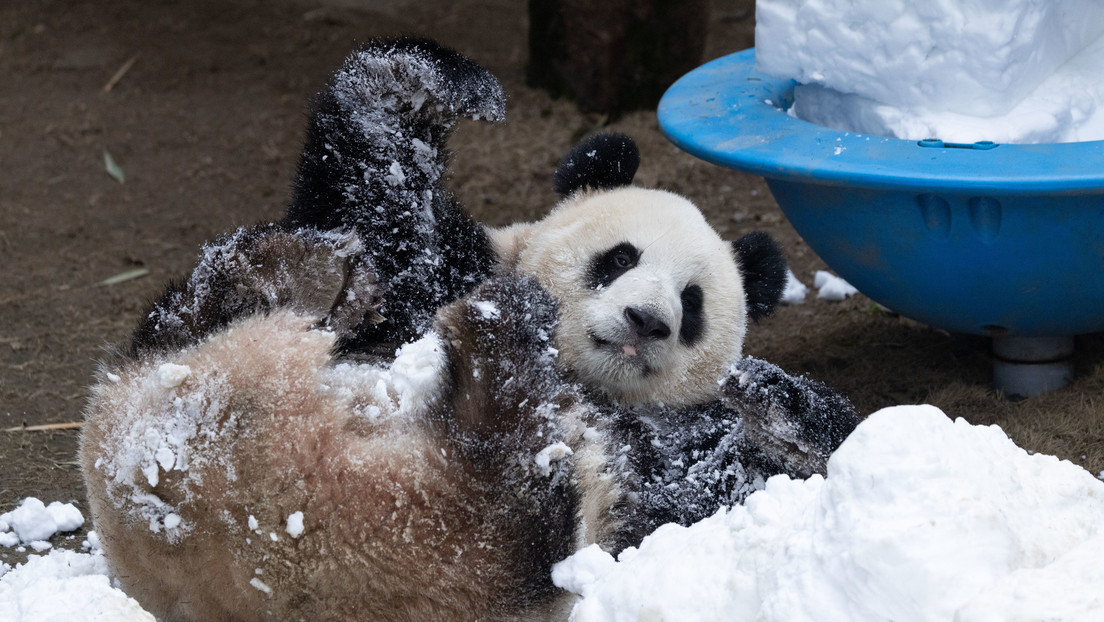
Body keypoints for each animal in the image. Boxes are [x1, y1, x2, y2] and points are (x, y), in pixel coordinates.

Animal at [81, 38, 860, 621]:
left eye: (692, 303)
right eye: (620, 258)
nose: (647, 320)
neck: (583, 378)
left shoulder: (680, 468)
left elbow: (765, 470)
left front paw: (775, 400)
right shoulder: (434, 279)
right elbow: (376, 203)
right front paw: (439, 89)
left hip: (446, 554)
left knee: (510, 505)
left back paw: (497, 349)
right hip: (173, 376)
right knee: (193, 311)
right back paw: (313, 277)